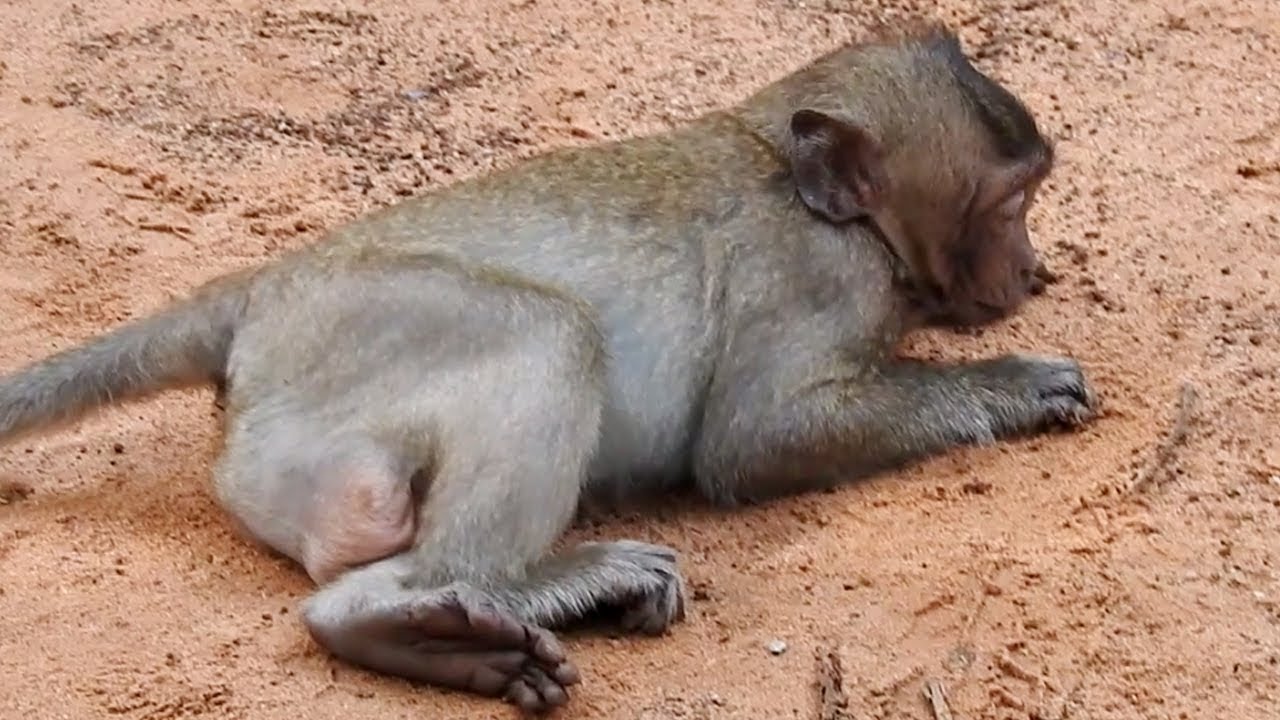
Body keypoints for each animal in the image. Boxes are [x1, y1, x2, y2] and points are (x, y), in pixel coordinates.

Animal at [0, 25, 1096, 713]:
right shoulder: (819, 275)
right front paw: (1014, 384)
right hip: (340, 364)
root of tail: (257, 294)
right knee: (547, 333)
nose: (1029, 267)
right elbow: (756, 439)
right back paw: (434, 603)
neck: (785, 167)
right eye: (1010, 202)